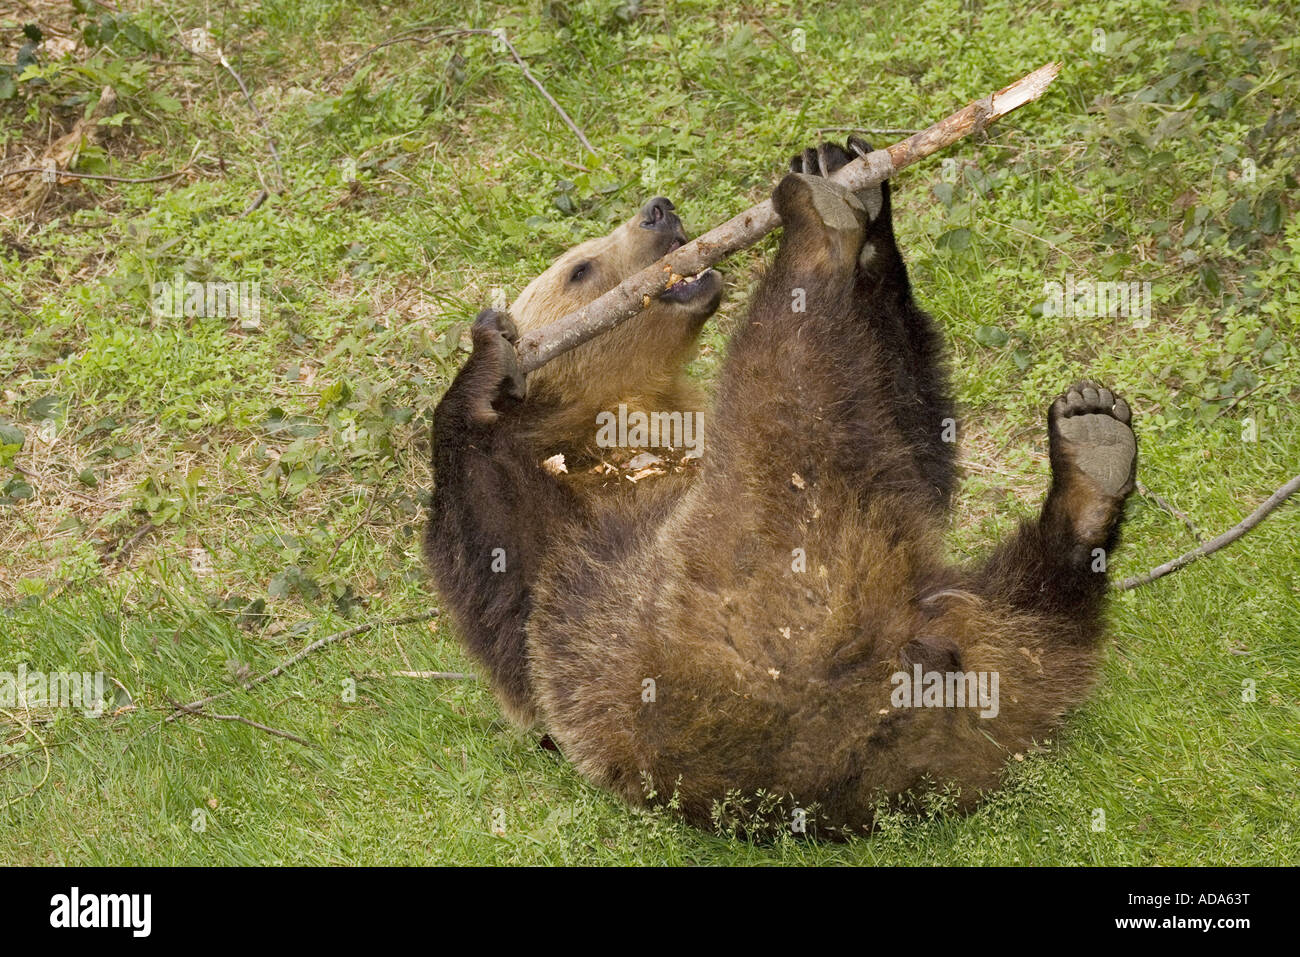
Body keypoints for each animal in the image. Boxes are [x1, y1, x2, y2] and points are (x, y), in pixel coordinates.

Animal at [424, 138, 1137, 838]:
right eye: (580, 269)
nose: (657, 209)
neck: (627, 430)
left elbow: (917, 441)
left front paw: (860, 190)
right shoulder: (570, 564)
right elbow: (494, 576)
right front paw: (487, 357)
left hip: (974, 654)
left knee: (1034, 599)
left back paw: (1091, 449)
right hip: (734, 586)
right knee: (783, 377)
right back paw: (819, 225)